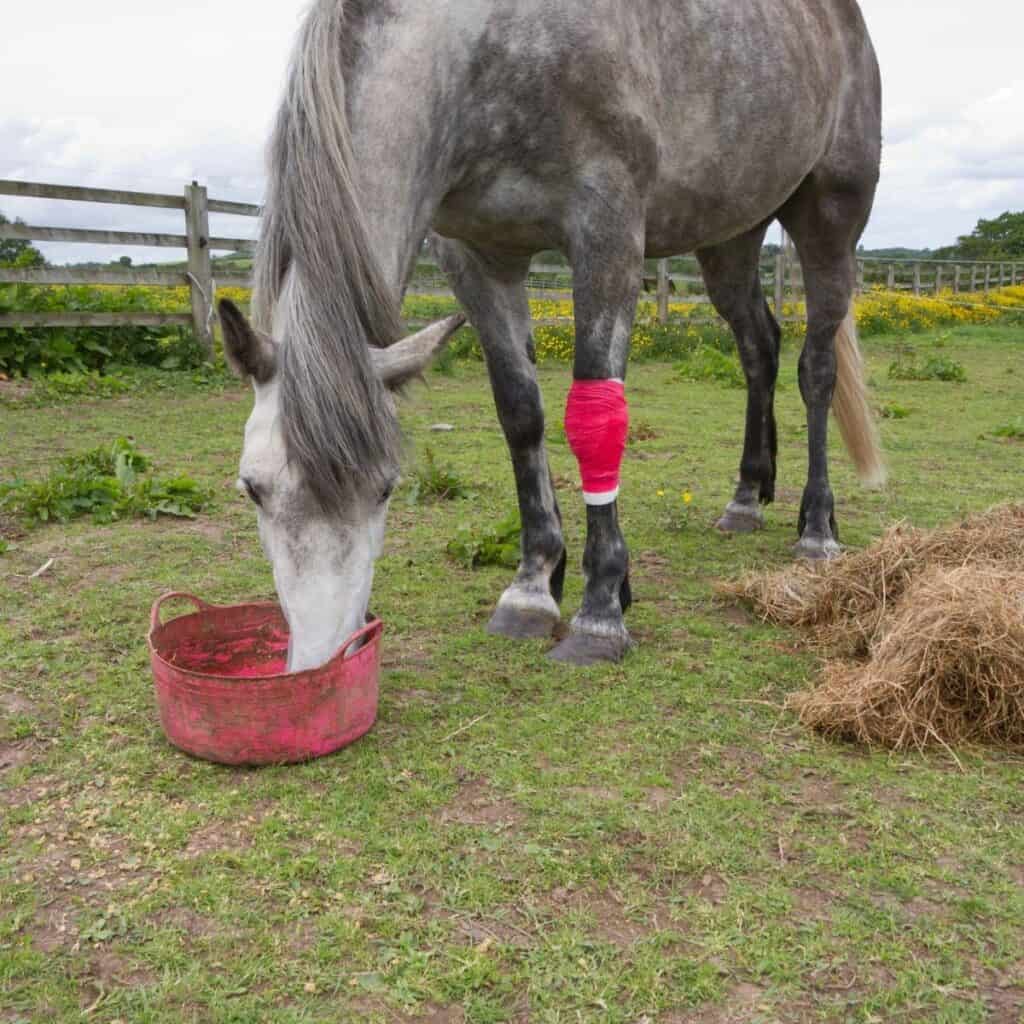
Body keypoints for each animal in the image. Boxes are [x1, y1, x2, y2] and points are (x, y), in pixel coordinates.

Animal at [218, 0, 885, 670]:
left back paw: (817, 527)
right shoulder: (476, 255)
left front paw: (602, 608)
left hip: (829, 217)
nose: (322, 659)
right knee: (759, 347)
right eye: (252, 489)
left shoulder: (608, 235)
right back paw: (746, 496)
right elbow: (520, 412)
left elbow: (595, 418)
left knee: (816, 367)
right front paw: (535, 585)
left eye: (386, 488)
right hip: (729, 236)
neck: (487, 47)